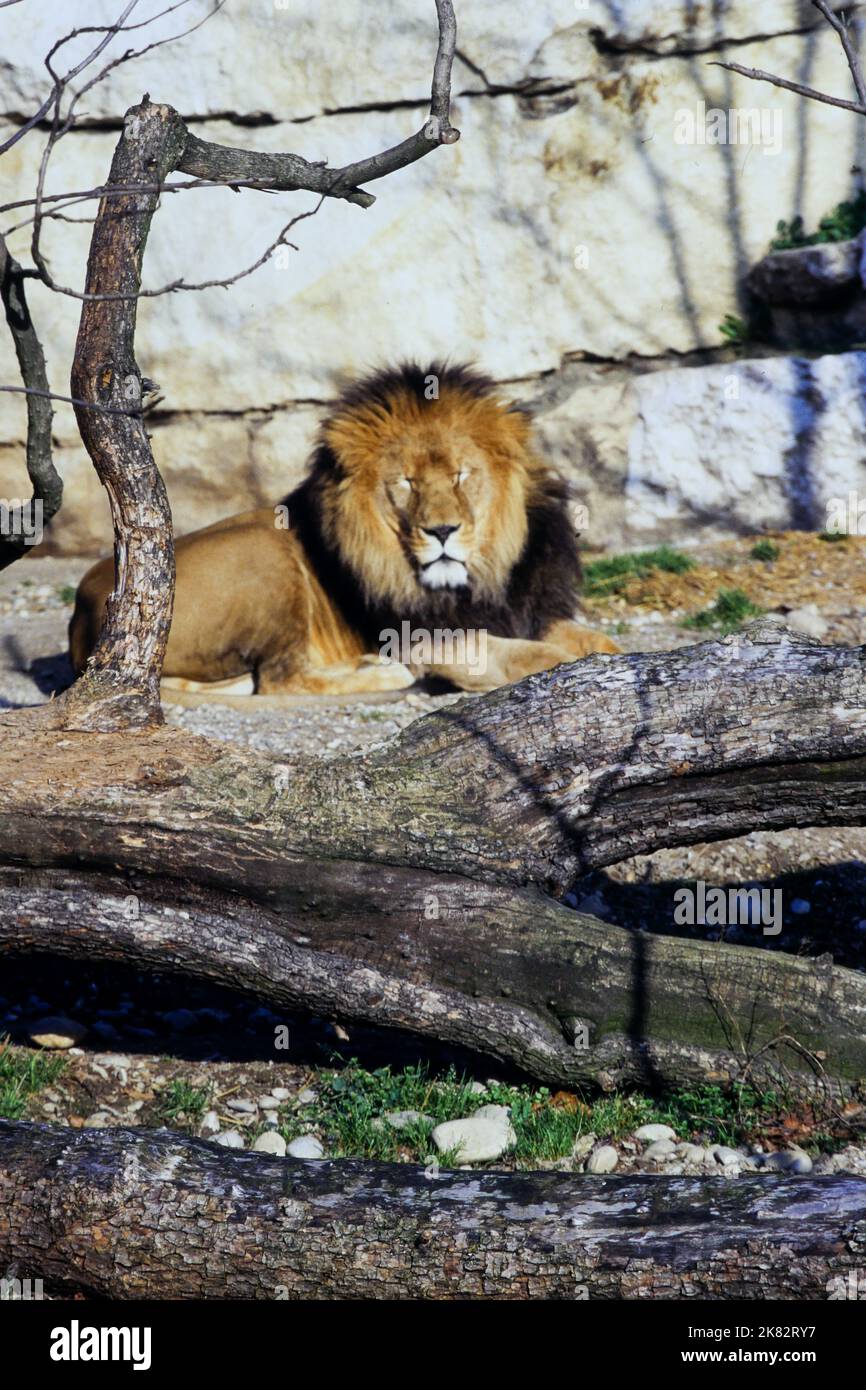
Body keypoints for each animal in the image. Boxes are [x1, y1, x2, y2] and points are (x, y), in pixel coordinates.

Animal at [69, 362, 619, 699]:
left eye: (462, 475)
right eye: (405, 482)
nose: (442, 530)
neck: (483, 575)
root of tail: (82, 606)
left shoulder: (527, 609)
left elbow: (586, 637)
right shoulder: (423, 640)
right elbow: (520, 655)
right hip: (266, 556)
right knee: (281, 680)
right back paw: (381, 674)